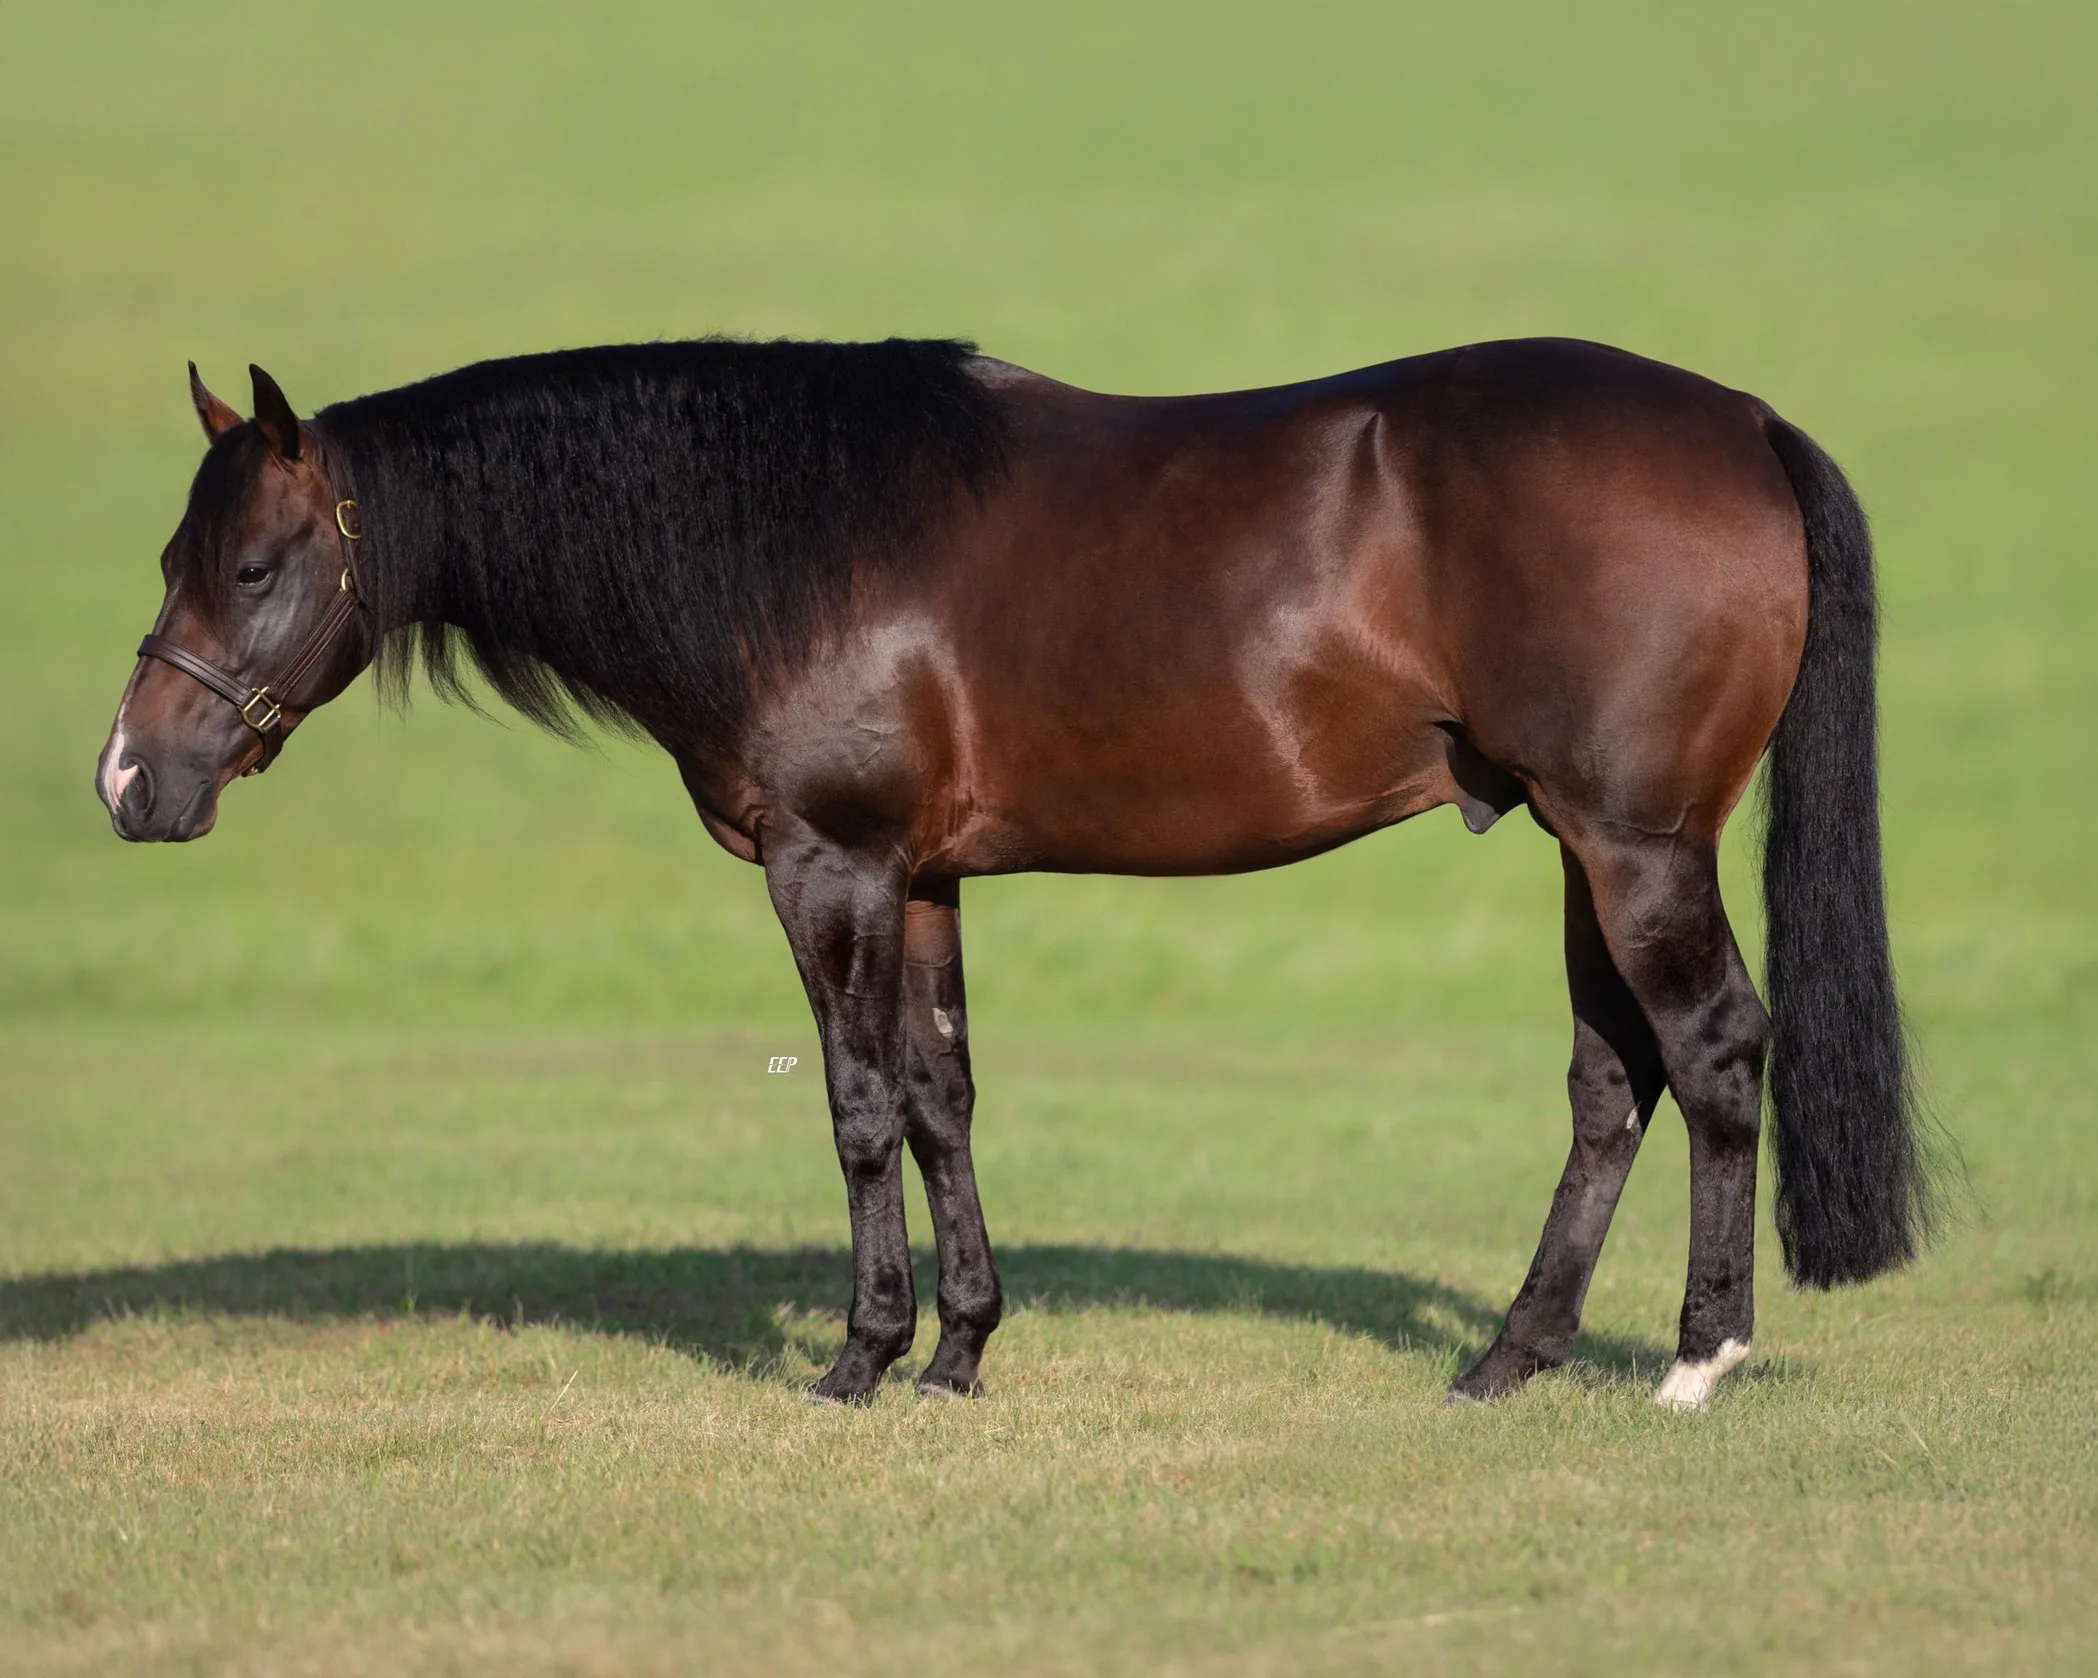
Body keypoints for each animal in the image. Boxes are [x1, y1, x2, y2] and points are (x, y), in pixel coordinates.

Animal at [95, 337, 1933, 1410]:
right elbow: (941, 1093)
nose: (128, 779)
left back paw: (1697, 1356)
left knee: (1710, 1053)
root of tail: (1743, 422)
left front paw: (859, 1351)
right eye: (172, 551)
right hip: (1578, 840)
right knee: (1610, 1081)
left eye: (252, 565)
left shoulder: (826, 865)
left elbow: (854, 1106)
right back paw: (1507, 1353)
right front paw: (964, 1343)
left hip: (1634, 843)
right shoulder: (919, 878)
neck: (793, 544)